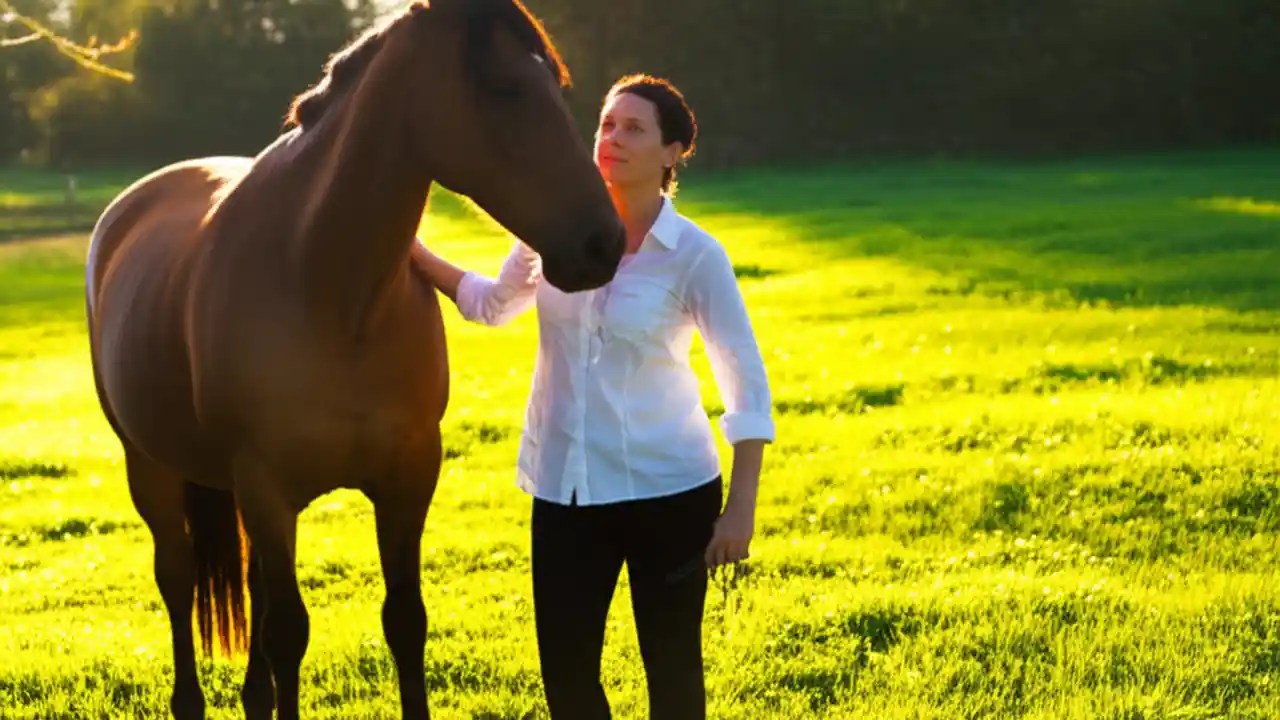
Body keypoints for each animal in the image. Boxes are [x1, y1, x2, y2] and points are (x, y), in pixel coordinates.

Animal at [83, 1, 624, 718]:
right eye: (505, 88)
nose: (604, 243)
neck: (330, 288)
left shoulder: (408, 476)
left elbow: (404, 621)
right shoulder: (268, 488)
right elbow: (289, 632)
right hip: (150, 468)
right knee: (176, 577)